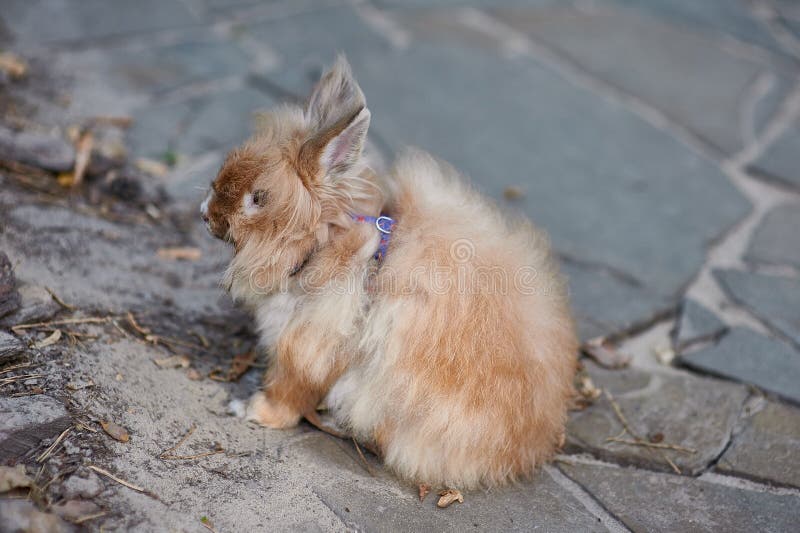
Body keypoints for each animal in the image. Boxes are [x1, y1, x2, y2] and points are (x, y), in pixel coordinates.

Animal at [201, 55, 578, 489]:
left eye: (258, 198)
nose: (205, 213)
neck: (325, 243)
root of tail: (528, 448)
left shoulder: (311, 344)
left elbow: (289, 393)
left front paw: (252, 410)